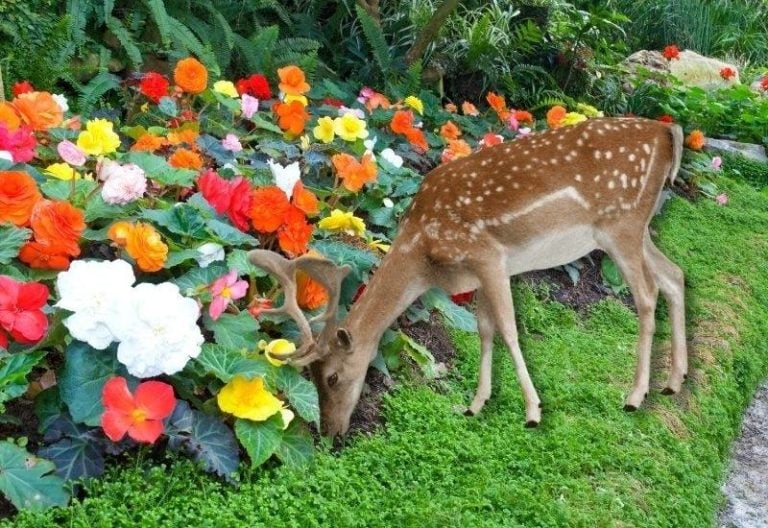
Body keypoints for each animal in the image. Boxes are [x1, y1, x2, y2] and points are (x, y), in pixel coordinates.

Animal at [248, 117, 687, 437]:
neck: (423, 256)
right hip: (640, 228)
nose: (330, 433)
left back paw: (635, 395)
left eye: (334, 377)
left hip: (620, 224)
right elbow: (485, 331)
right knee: (676, 276)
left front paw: (532, 411)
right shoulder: (477, 274)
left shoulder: (487, 255)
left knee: (647, 294)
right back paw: (675, 381)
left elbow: (509, 329)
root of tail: (669, 131)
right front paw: (476, 404)